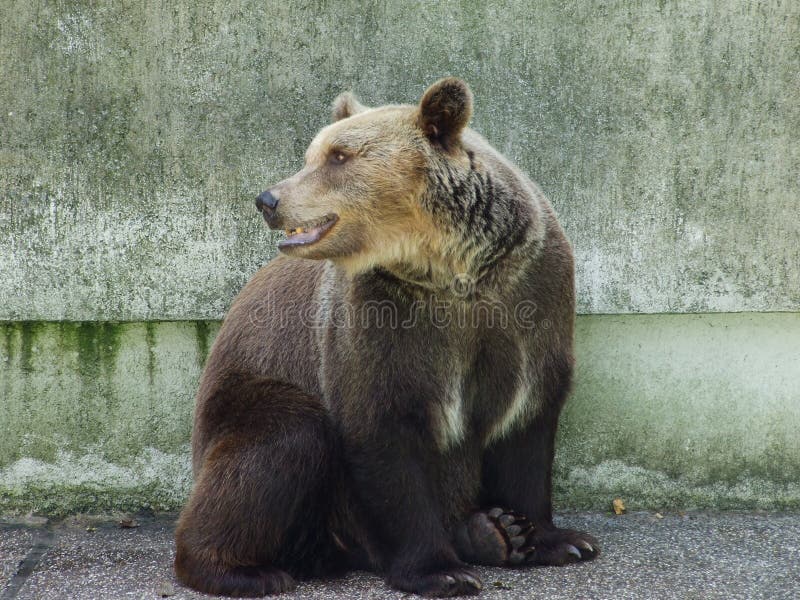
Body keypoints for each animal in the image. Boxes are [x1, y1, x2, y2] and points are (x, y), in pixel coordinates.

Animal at [174, 78, 598, 598]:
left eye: (338, 156)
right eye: (312, 154)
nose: (268, 200)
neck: (451, 269)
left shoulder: (530, 301)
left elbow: (528, 429)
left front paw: (557, 539)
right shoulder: (378, 321)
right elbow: (383, 430)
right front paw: (441, 570)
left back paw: (494, 532)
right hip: (251, 397)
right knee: (284, 439)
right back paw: (244, 570)